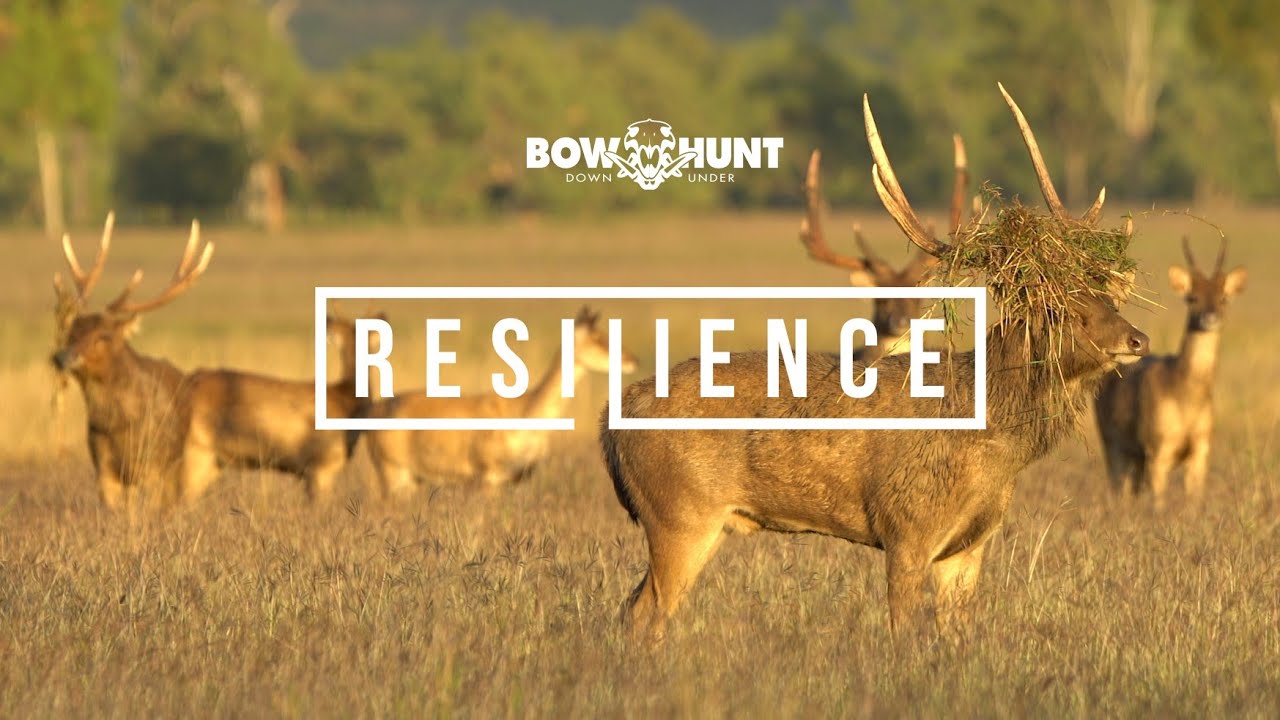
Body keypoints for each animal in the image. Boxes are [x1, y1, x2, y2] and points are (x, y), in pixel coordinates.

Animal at [51, 213, 214, 510]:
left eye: (103, 335)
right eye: (71, 331)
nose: (61, 357)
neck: (118, 427)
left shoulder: (154, 467)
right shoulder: (103, 467)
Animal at [364, 306, 638, 497]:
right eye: (598, 338)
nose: (631, 360)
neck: (524, 411)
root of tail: (378, 406)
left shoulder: (516, 481)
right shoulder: (490, 479)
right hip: (395, 477)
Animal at [1094, 237, 1246, 510]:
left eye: (1224, 298)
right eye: (1192, 297)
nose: (1210, 318)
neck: (1184, 394)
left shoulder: (1201, 450)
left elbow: (1194, 502)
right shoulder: (1158, 448)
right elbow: (1159, 503)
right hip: (1111, 441)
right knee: (1117, 486)